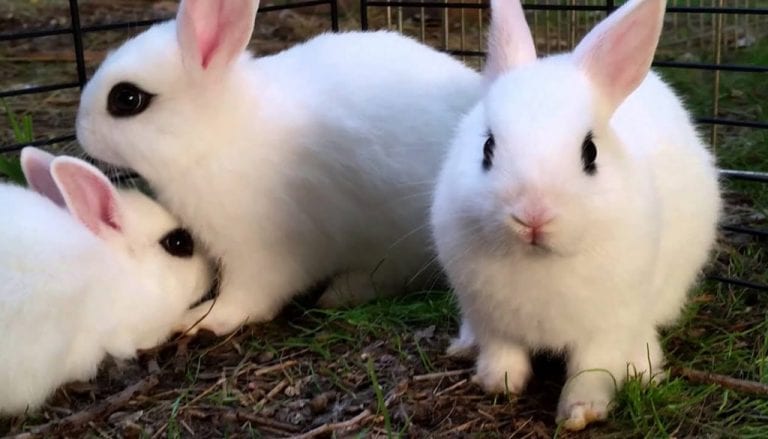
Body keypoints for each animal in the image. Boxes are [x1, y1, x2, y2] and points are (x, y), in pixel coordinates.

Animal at [75, 0, 482, 336]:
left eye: (128, 98)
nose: (80, 132)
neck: (216, 135)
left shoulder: (258, 250)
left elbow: (247, 298)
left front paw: (201, 320)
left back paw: (340, 292)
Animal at [430, 0, 721, 431]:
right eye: (487, 147)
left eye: (591, 152)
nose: (532, 215)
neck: (540, 262)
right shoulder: (491, 318)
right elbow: (503, 351)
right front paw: (499, 382)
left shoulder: (608, 325)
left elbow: (592, 368)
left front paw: (580, 412)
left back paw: (643, 368)